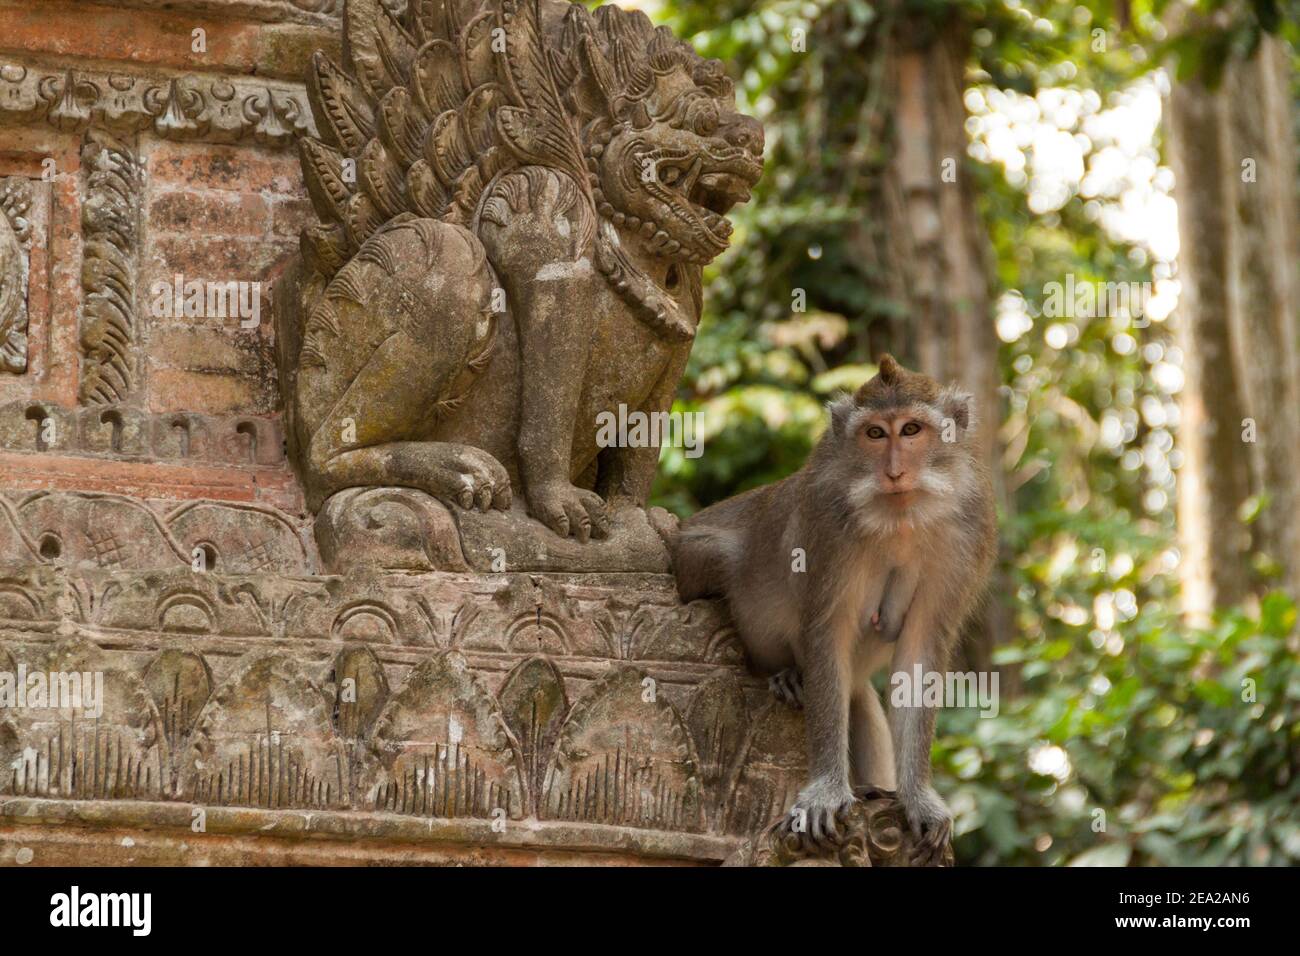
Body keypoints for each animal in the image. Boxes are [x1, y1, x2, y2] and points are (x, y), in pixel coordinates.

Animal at [672, 355, 996, 861]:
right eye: (875, 434)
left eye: (911, 429)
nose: (894, 472)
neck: (900, 518)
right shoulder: (825, 526)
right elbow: (827, 630)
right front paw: (825, 791)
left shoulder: (969, 529)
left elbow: (920, 650)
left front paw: (919, 799)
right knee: (718, 558)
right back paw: (784, 673)